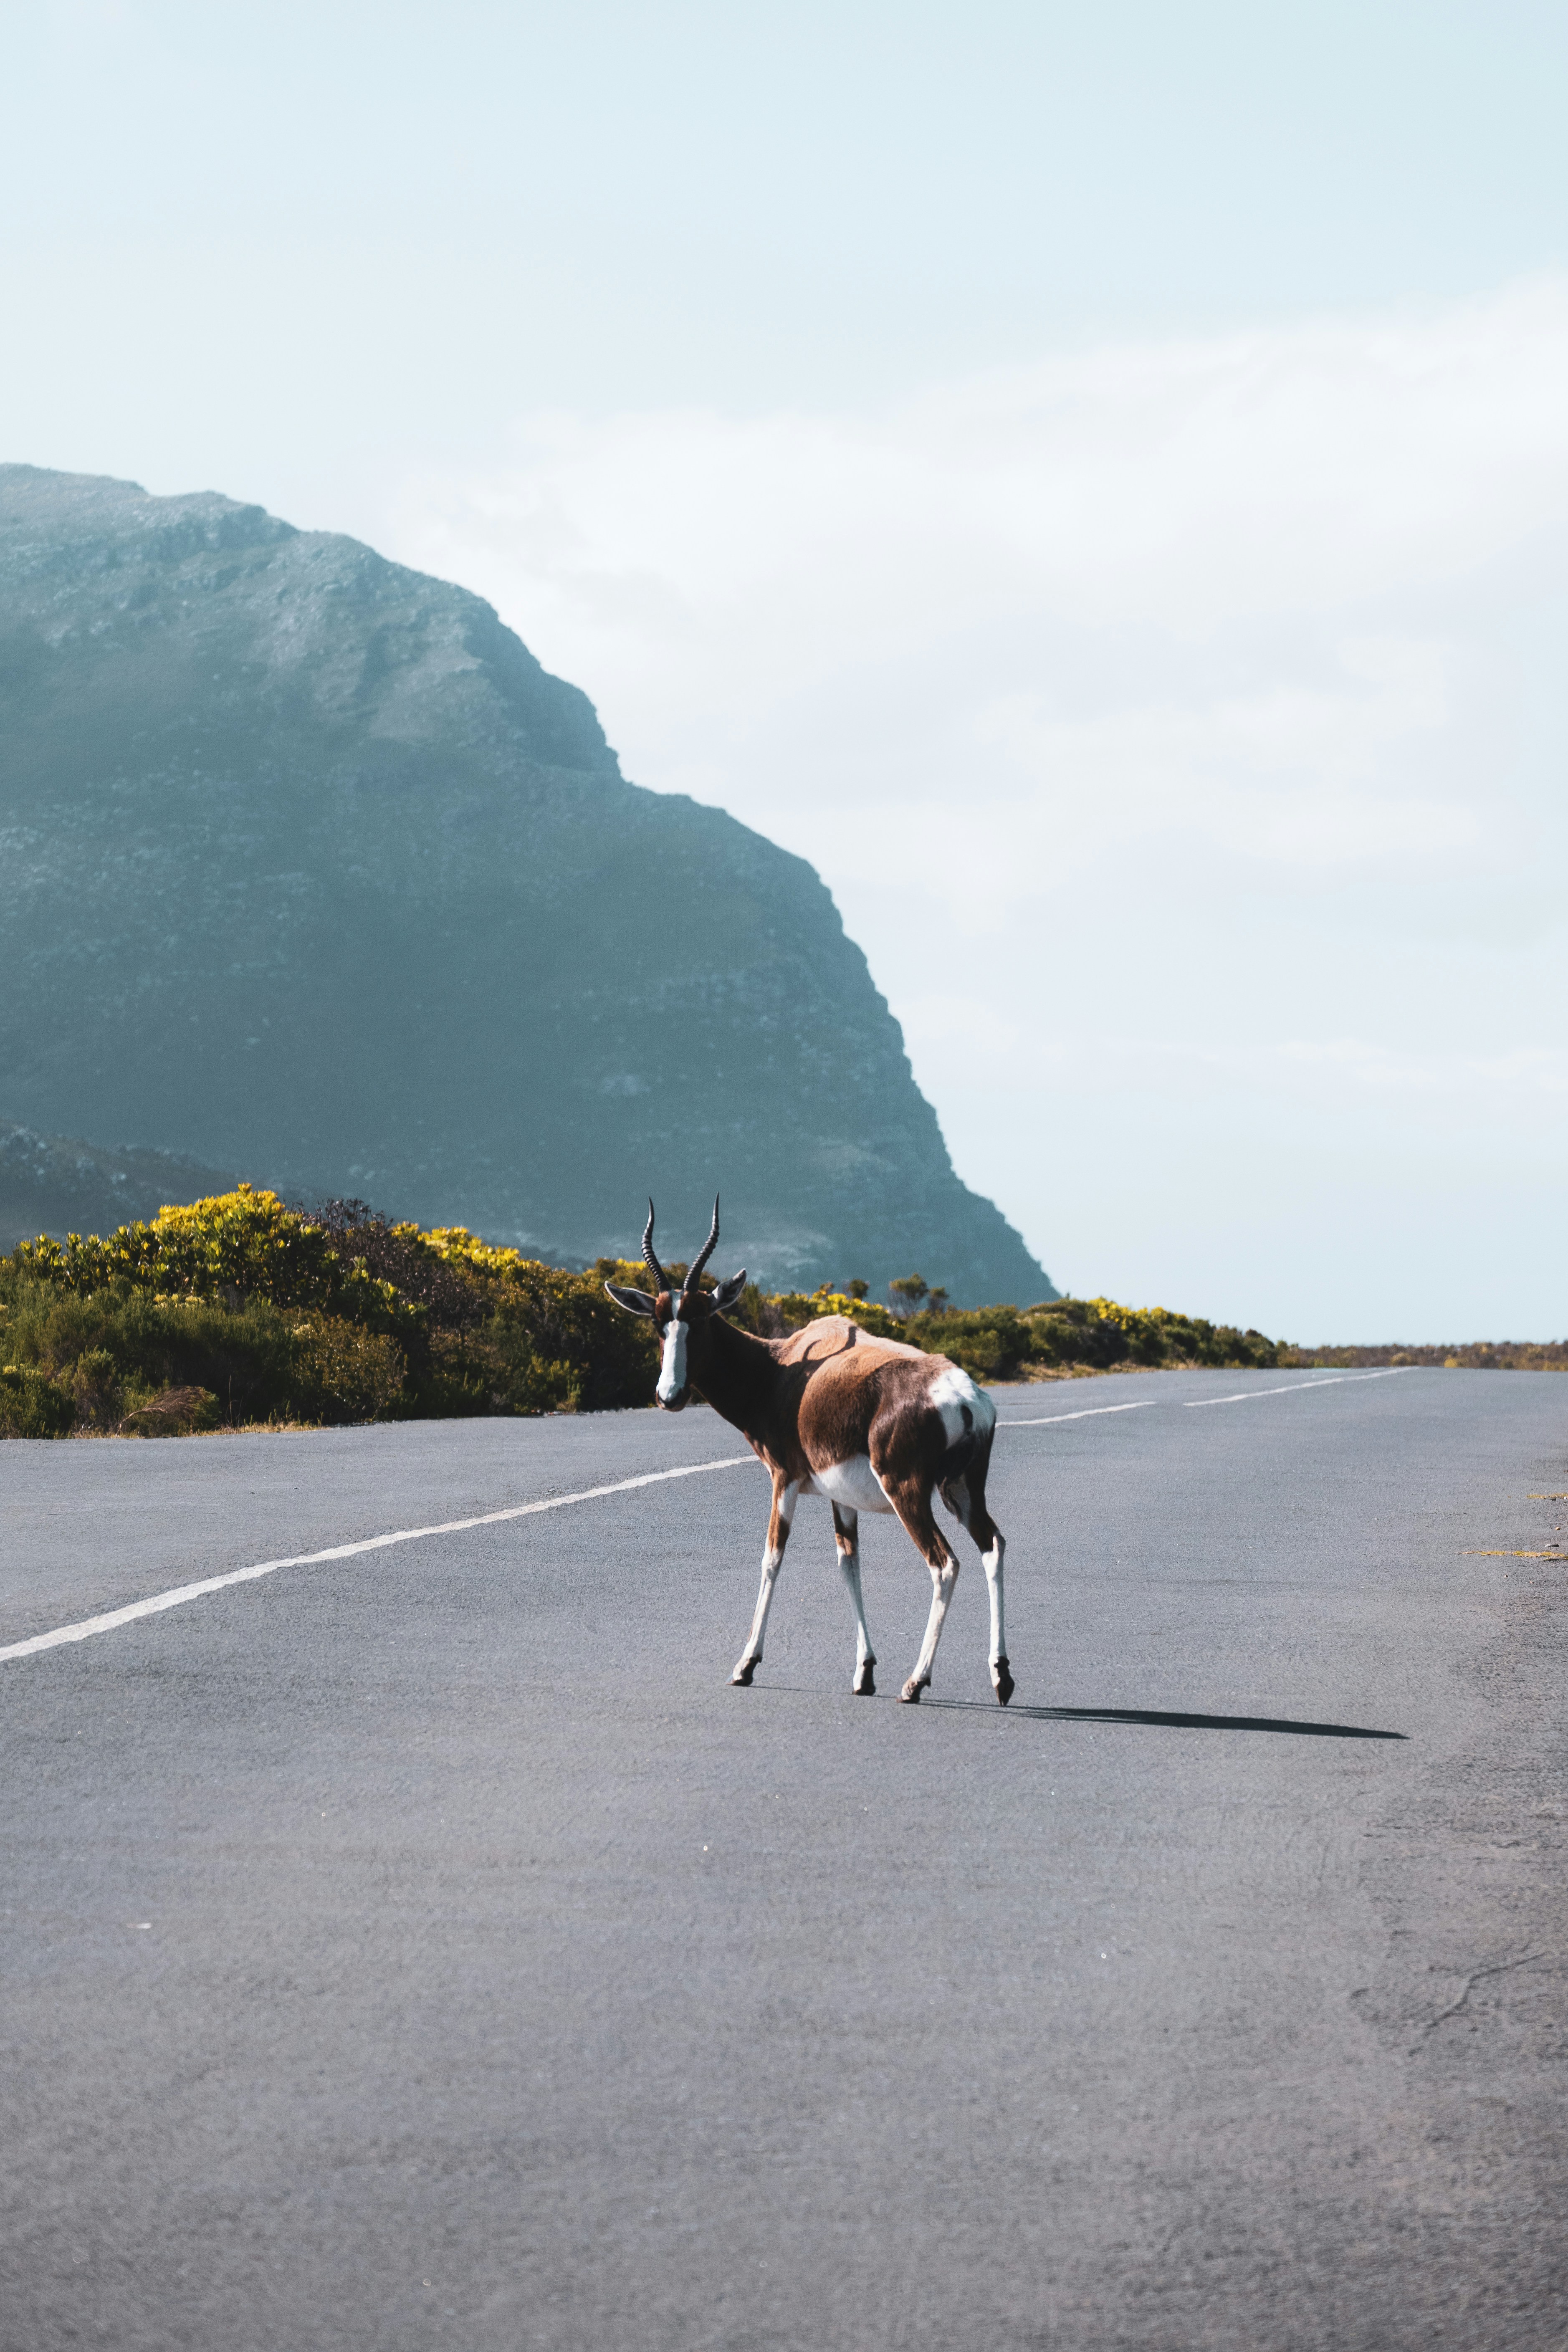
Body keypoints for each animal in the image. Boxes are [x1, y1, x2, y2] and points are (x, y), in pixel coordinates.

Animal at [605, 1198, 1013, 1705]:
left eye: (699, 1320)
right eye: (659, 1324)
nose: (670, 1396)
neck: (781, 1369)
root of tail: (963, 1396)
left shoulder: (784, 1480)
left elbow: (772, 1559)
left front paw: (746, 1665)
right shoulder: (842, 1498)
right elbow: (848, 1564)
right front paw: (864, 1673)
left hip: (908, 1492)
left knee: (944, 1564)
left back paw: (916, 1682)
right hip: (962, 1489)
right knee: (992, 1545)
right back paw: (1001, 1677)